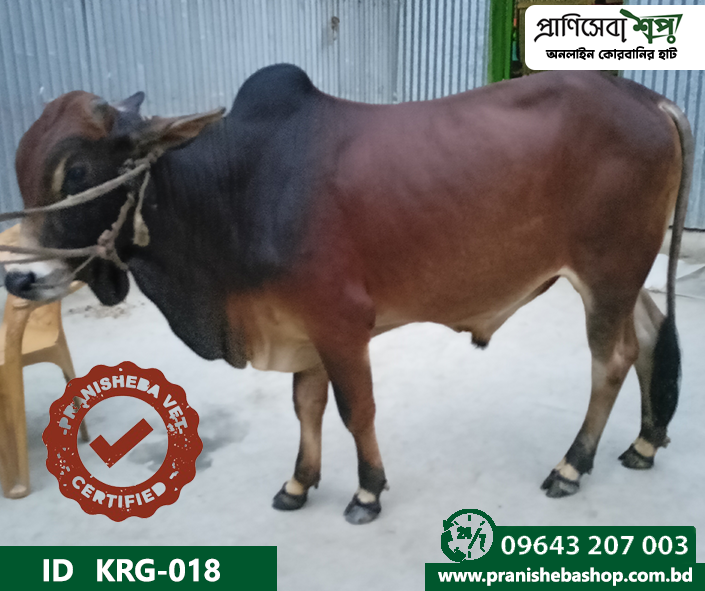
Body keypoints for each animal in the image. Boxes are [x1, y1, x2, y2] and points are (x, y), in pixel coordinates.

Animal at [3, 65, 693, 524]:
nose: (18, 278)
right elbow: (305, 407)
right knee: (650, 333)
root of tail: (653, 98)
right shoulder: (298, 325)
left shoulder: (340, 323)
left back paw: (571, 466)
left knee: (612, 361)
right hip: (623, 277)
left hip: (606, 273)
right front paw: (298, 483)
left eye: (78, 170)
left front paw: (367, 491)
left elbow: (354, 410)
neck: (238, 186)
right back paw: (644, 442)